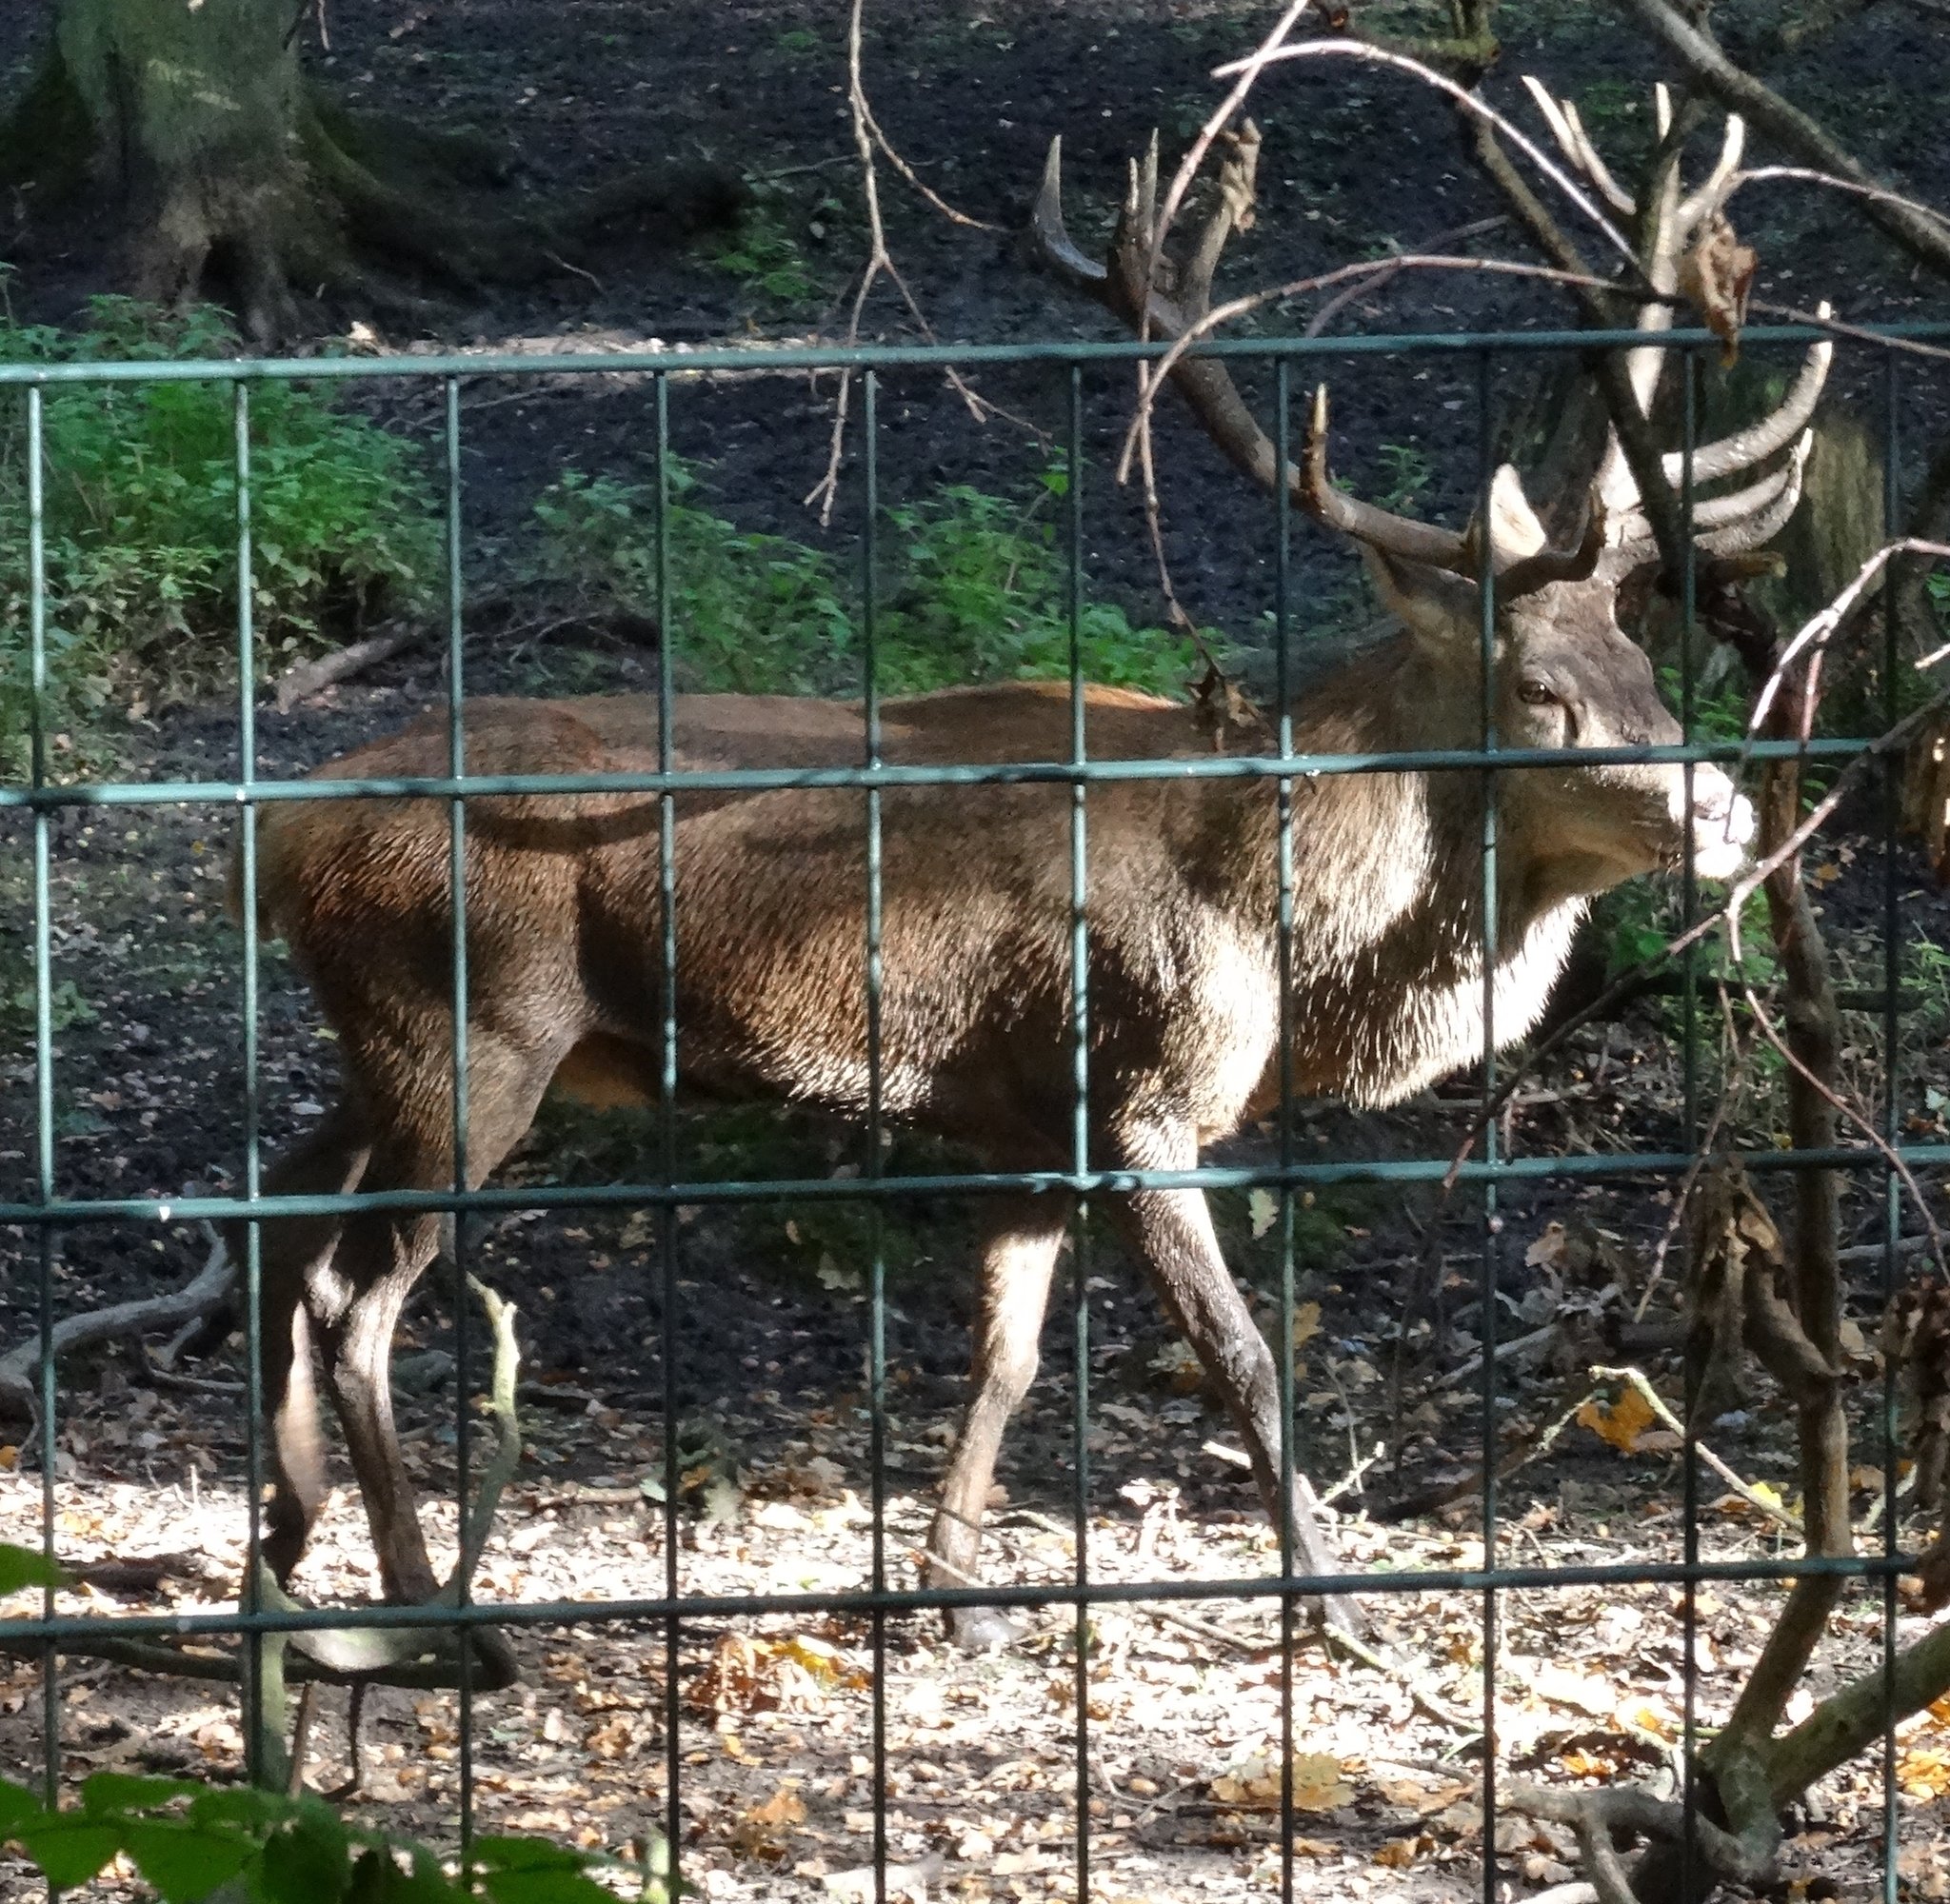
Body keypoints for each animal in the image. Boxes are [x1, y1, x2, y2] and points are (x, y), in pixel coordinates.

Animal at [217, 112, 1826, 1657]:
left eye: (1646, 667)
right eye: (1543, 690)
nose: (1729, 807)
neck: (1282, 936)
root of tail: (276, 836)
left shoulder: (1023, 1118)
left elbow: (1006, 1356)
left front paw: (947, 1590)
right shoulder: (1138, 1094)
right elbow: (1244, 1354)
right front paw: (1340, 1604)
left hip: (384, 1047)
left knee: (277, 1220)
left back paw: (285, 1550)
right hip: (476, 1036)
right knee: (356, 1297)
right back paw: (425, 1600)